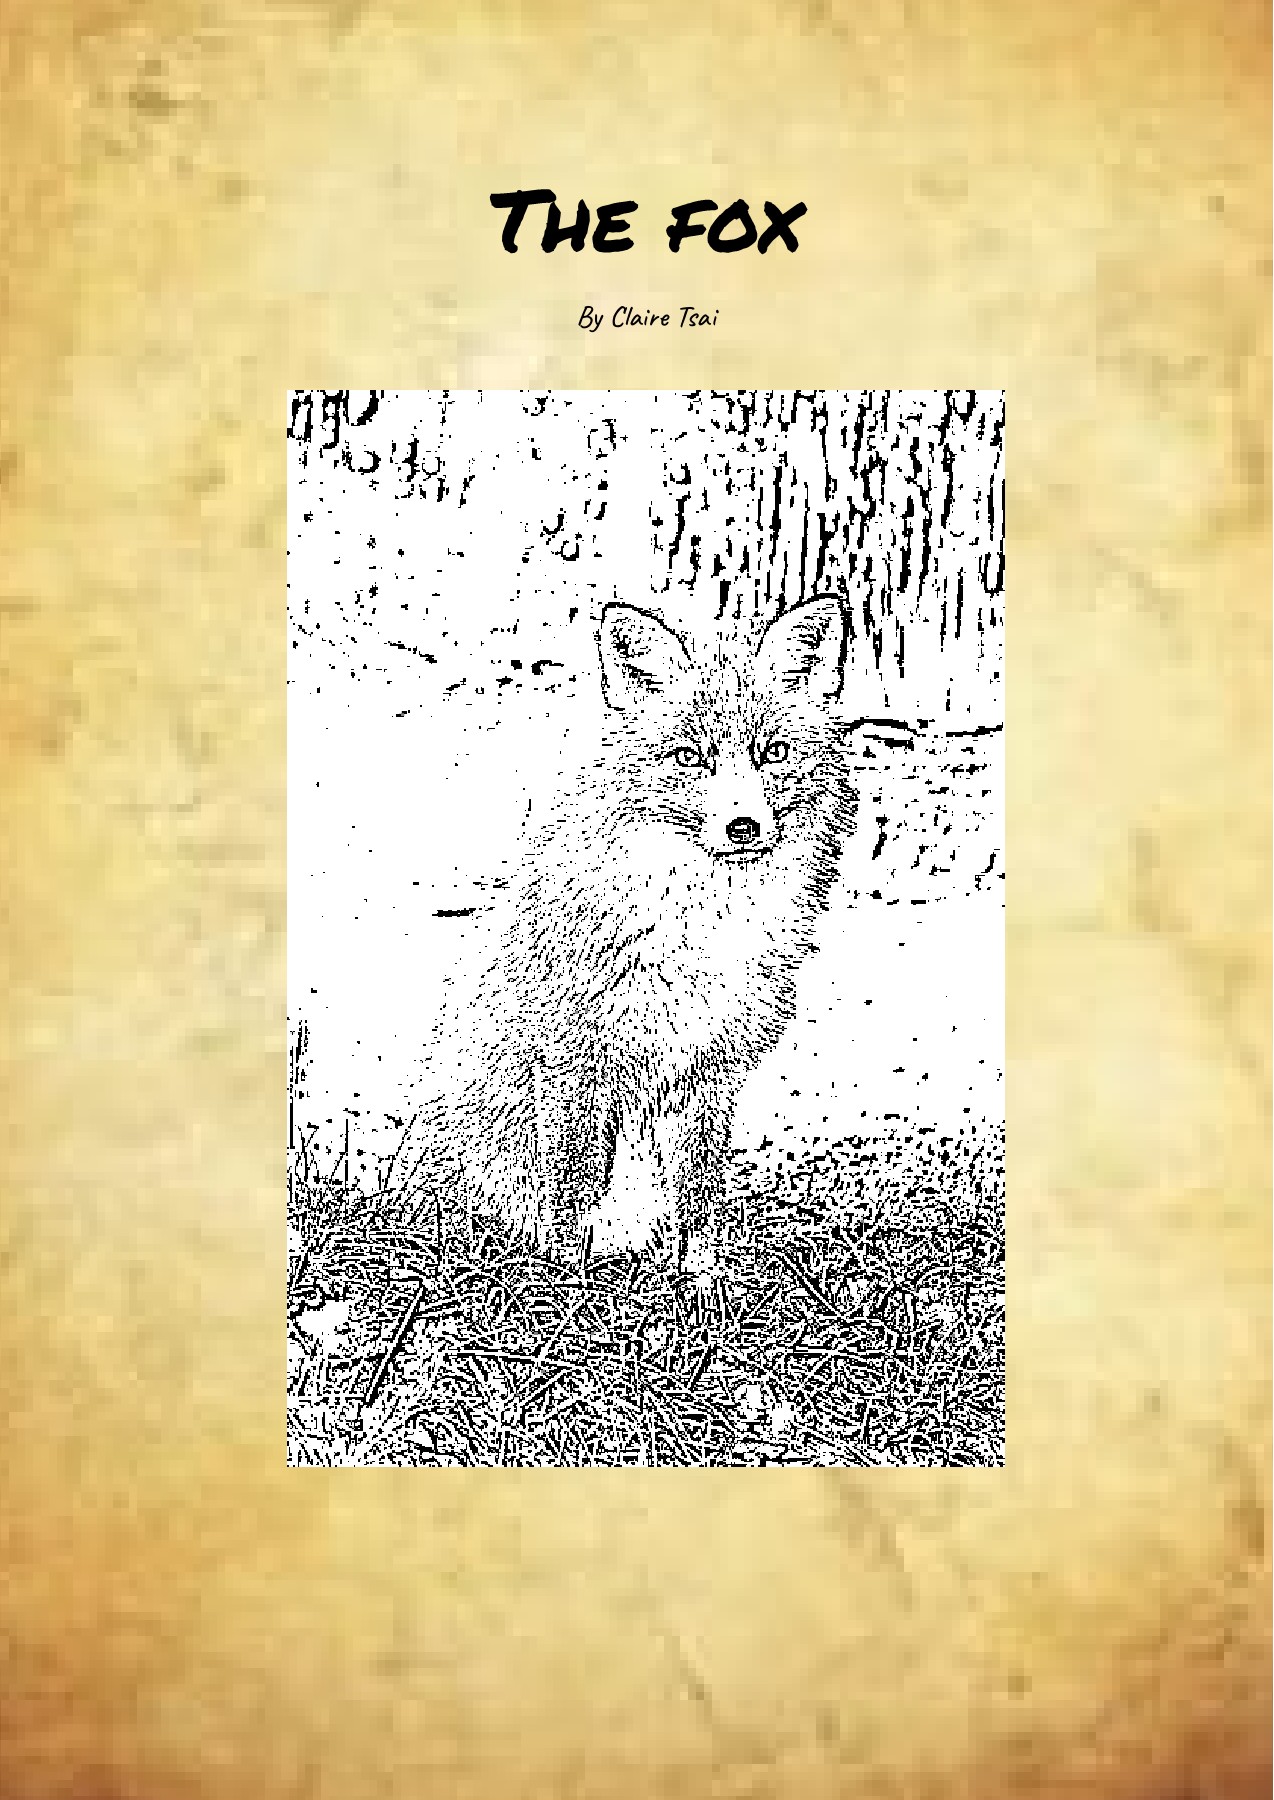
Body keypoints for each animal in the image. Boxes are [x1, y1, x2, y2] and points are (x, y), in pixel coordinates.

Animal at [431, 592, 860, 1275]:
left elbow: (695, 1188)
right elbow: (571, 1190)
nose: (743, 826)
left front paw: (694, 1275)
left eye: (770, 752)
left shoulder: (705, 1067)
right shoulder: (580, 1065)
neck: (702, 923)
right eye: (689, 757)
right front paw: (571, 1285)